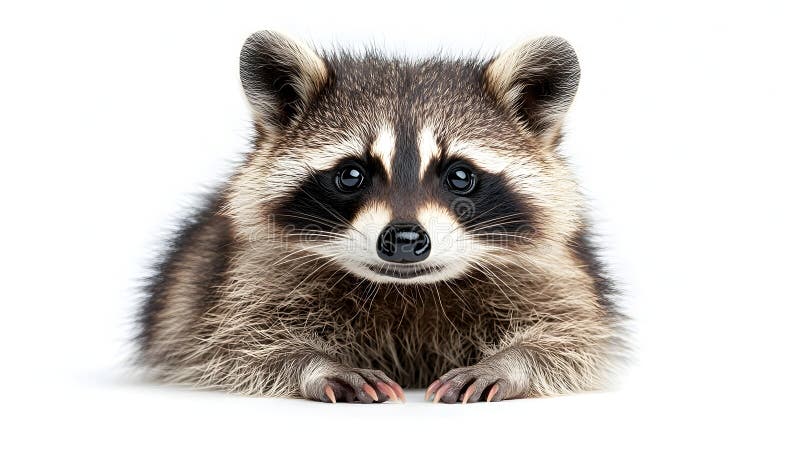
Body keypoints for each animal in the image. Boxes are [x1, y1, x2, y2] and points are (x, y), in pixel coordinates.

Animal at [138, 30, 625, 404]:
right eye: (351, 174)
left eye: (460, 176)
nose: (405, 239)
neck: (407, 289)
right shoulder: (249, 273)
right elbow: (239, 340)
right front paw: (314, 365)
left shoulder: (551, 269)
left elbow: (574, 333)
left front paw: (510, 362)